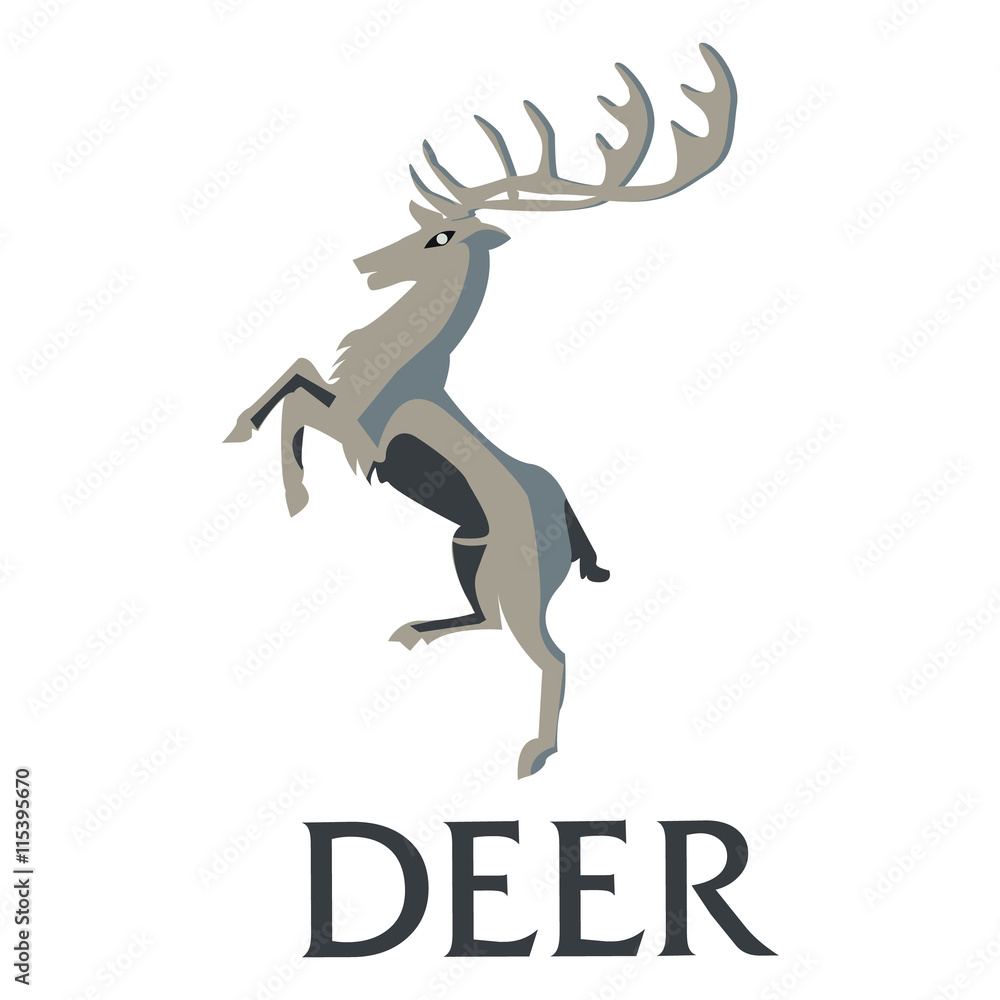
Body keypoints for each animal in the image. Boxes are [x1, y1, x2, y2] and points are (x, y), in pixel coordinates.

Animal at [223, 44, 736, 778]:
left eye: (441, 238)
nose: (365, 266)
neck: (404, 361)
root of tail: (569, 524)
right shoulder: (347, 408)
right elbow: (297, 371)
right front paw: (249, 440)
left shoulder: (360, 433)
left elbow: (299, 396)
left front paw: (293, 494)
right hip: (468, 549)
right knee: (488, 621)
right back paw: (414, 631)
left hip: (516, 579)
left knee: (550, 654)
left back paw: (534, 755)